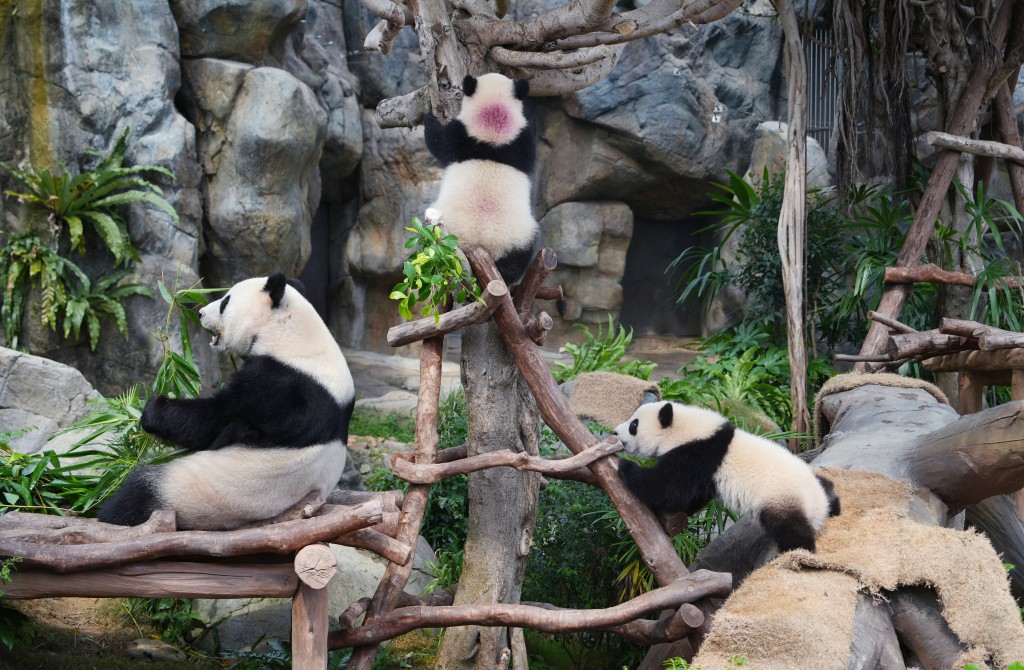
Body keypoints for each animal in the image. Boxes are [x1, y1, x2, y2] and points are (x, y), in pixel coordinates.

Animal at [97, 273, 355, 531]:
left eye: (225, 303)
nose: (200, 313)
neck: (289, 330)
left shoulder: (283, 388)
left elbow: (213, 420)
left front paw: (153, 407)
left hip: (190, 492)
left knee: (138, 493)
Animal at [424, 72, 538, 284]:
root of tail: (482, 243)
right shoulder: (523, 141)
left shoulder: (459, 133)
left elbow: (436, 141)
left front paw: (429, 118)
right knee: (515, 262)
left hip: (516, 234)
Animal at [613, 401, 840, 553]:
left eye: (634, 425)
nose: (615, 432)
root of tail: (819, 507)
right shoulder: (705, 470)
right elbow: (691, 496)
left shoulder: (697, 453)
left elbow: (668, 487)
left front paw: (625, 466)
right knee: (827, 486)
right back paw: (835, 504)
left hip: (781, 499)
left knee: (791, 530)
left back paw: (798, 550)